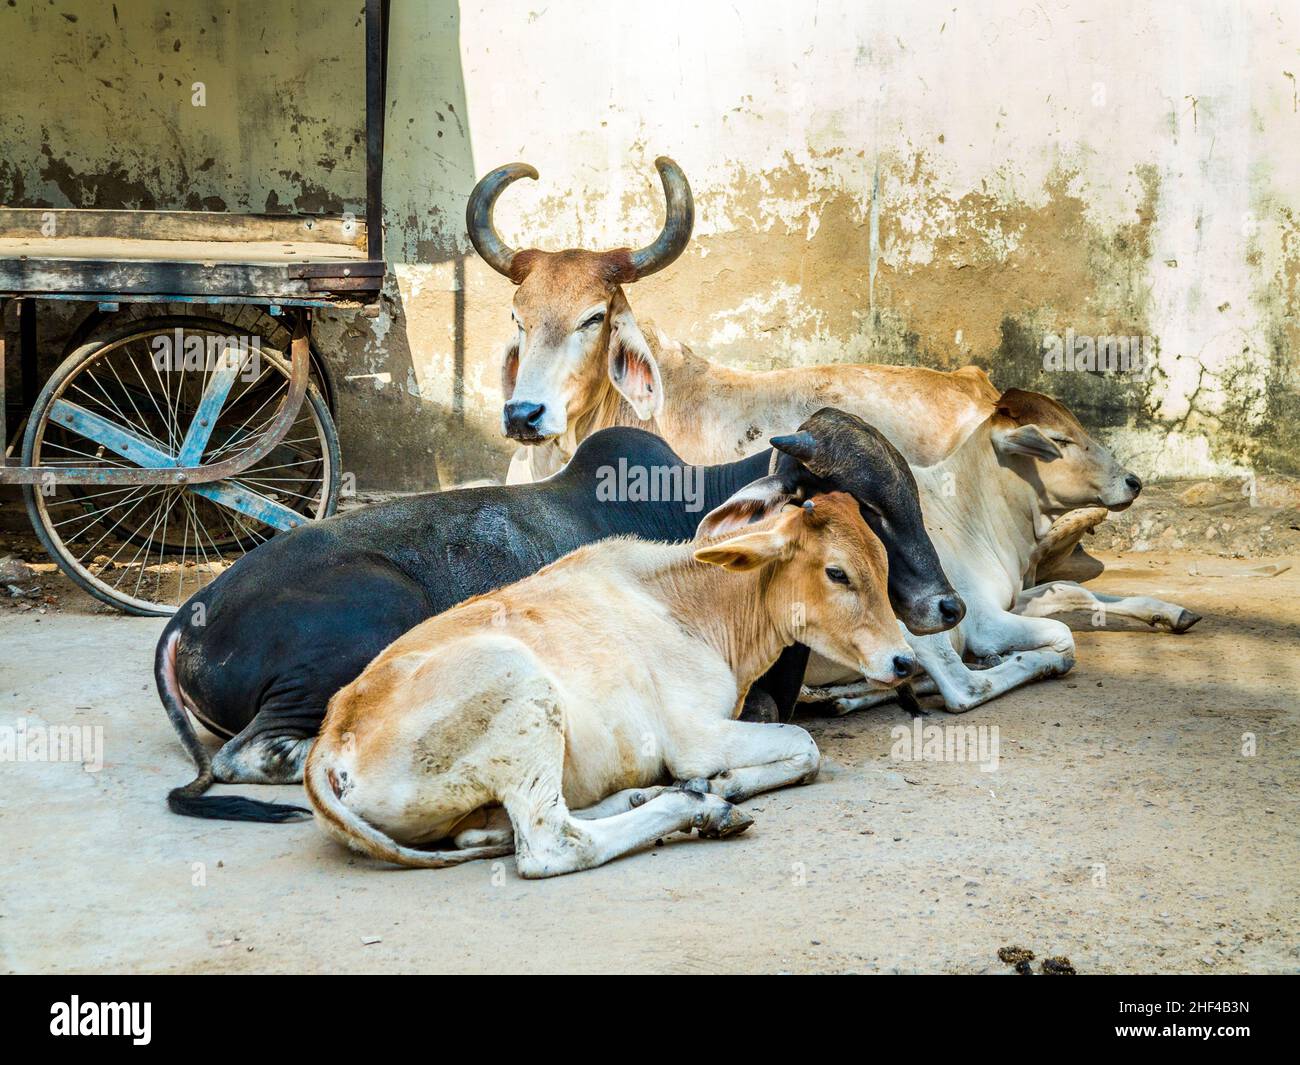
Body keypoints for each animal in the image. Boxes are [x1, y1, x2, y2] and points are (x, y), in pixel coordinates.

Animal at [304, 492, 908, 877]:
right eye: (836, 572)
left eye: (881, 563)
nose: (904, 660)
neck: (689, 606)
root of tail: (330, 739)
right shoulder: (695, 736)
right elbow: (806, 746)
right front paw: (727, 784)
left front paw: (720, 782)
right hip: (519, 687)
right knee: (552, 843)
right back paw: (696, 806)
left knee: (485, 833)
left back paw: (654, 793)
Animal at [792, 389, 1202, 714]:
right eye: (1060, 440)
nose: (1132, 482)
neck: (967, 511)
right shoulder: (983, 621)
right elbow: (1063, 634)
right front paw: (1022, 654)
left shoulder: (1013, 599)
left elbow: (1075, 590)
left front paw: (1172, 612)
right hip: (920, 624)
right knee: (964, 687)